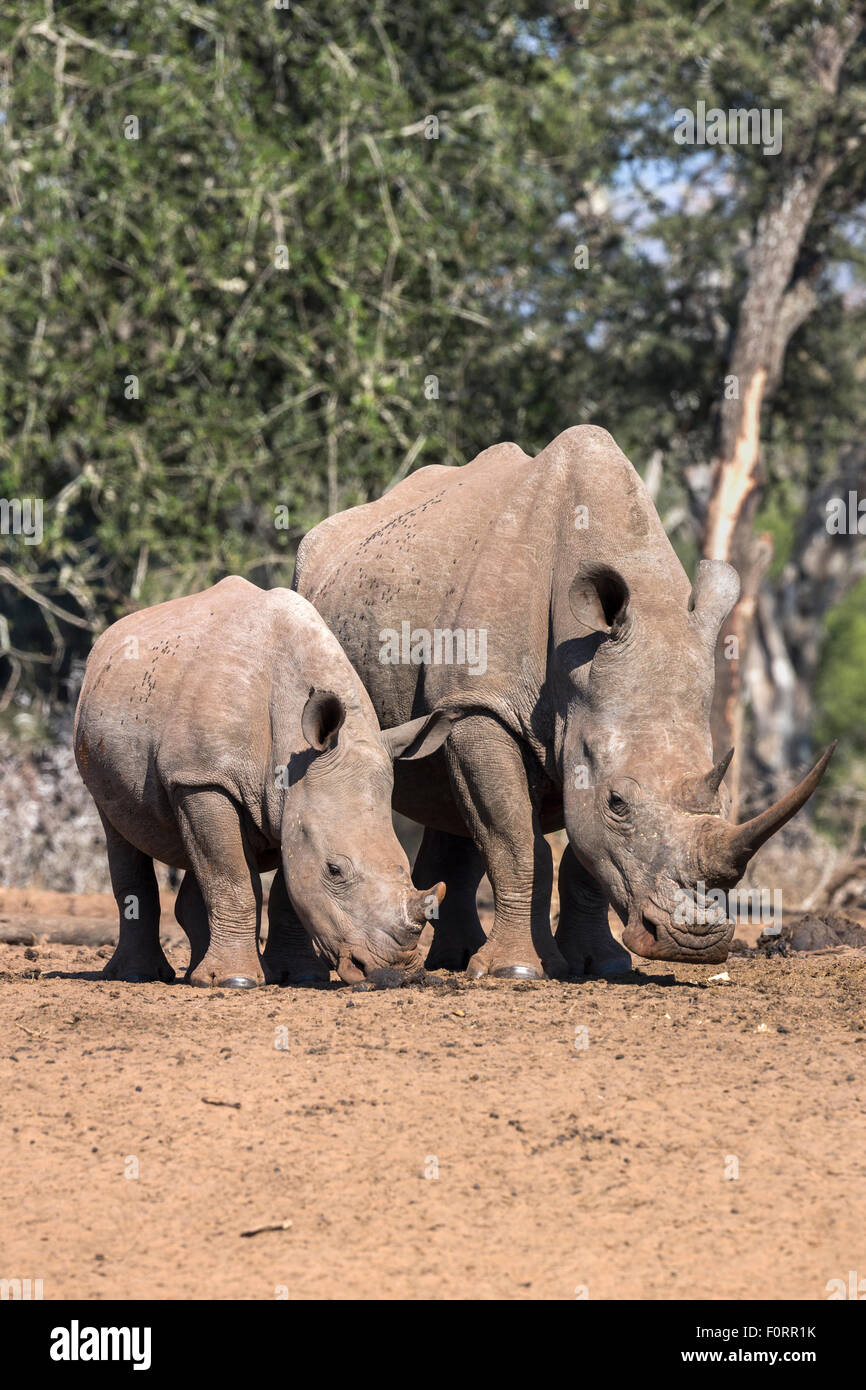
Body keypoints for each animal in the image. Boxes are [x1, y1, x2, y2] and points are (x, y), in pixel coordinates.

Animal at [73, 577, 453, 988]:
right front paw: (236, 982)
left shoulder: (296, 804)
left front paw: (299, 977)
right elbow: (233, 878)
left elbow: (285, 887)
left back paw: (199, 974)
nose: (395, 972)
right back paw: (140, 975)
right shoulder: (206, 779)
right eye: (334, 870)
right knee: (119, 830)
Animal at [291, 425, 834, 980]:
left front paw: (603, 965)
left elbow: (584, 854)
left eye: (721, 803)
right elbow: (516, 842)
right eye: (618, 802)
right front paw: (517, 972)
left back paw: (457, 960)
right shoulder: (482, 707)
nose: (694, 943)